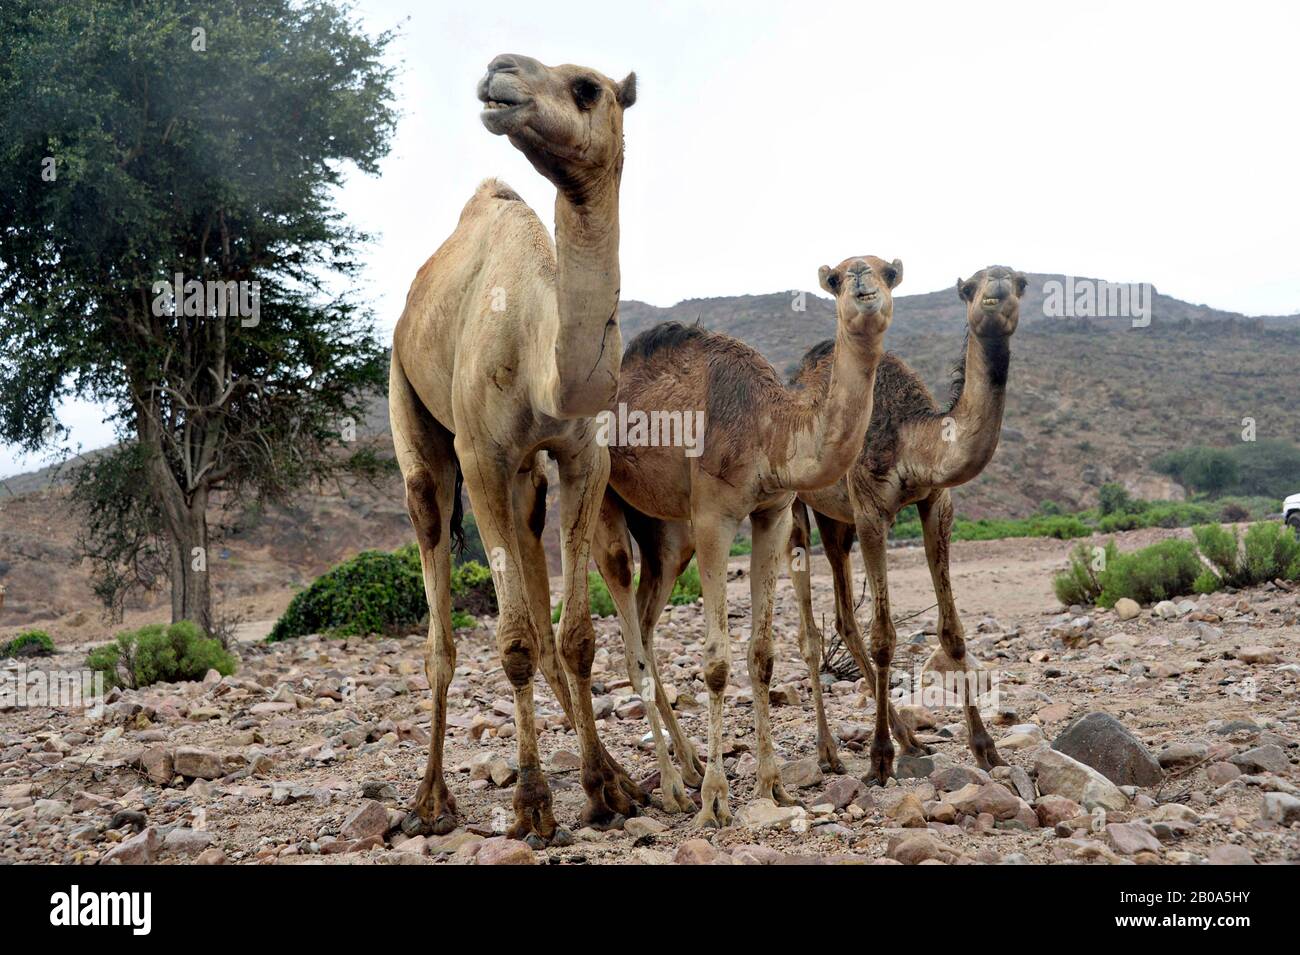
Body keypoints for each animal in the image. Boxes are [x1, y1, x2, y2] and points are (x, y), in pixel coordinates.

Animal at [389, 54, 641, 845]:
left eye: (587, 88)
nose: (500, 72)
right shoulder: (482, 459)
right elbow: (517, 643)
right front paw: (533, 803)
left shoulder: (583, 455)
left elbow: (577, 638)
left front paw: (603, 787)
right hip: (414, 423)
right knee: (439, 630)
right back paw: (429, 799)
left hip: (528, 479)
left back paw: (620, 774)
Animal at [591, 256, 902, 826]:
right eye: (837, 278)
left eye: (888, 271)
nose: (863, 284)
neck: (770, 430)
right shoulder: (715, 515)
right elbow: (717, 661)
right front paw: (717, 799)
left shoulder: (772, 512)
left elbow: (762, 654)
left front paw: (773, 785)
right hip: (602, 494)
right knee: (626, 630)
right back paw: (674, 788)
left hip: (666, 531)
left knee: (645, 622)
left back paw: (688, 765)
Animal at [788, 265, 1026, 784]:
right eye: (970, 286)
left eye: (1021, 281)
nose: (997, 286)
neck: (909, 438)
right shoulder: (871, 510)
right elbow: (885, 637)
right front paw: (878, 760)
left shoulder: (935, 502)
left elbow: (952, 632)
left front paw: (987, 749)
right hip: (795, 506)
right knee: (810, 632)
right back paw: (830, 752)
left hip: (836, 522)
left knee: (843, 616)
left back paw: (911, 739)